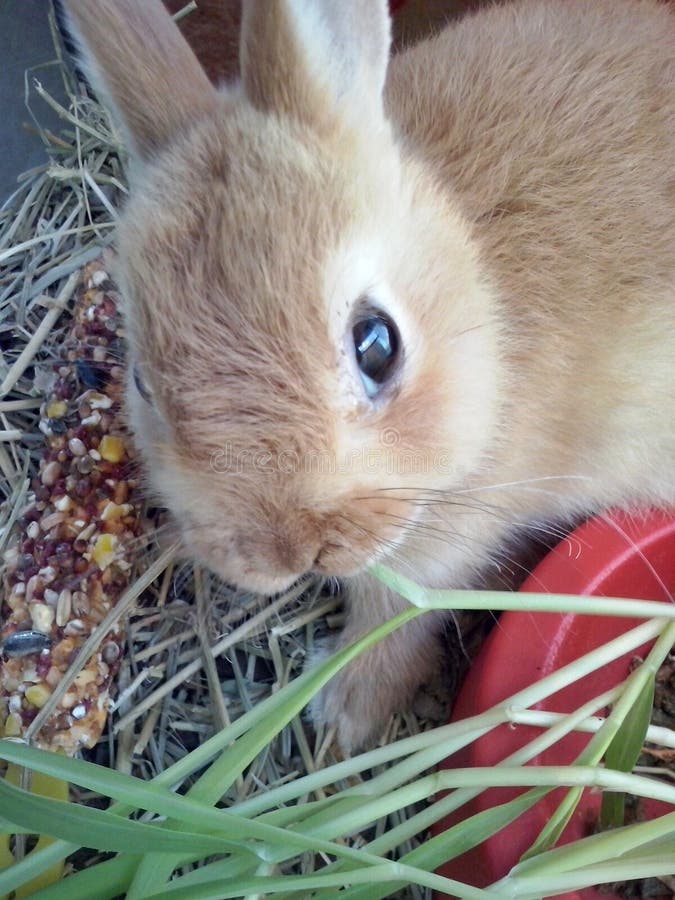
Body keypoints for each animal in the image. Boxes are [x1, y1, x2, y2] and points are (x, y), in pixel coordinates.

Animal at [63, 0, 675, 750]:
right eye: (143, 383)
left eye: (377, 343)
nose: (288, 550)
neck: (479, 299)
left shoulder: (441, 547)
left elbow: (392, 620)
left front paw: (343, 714)